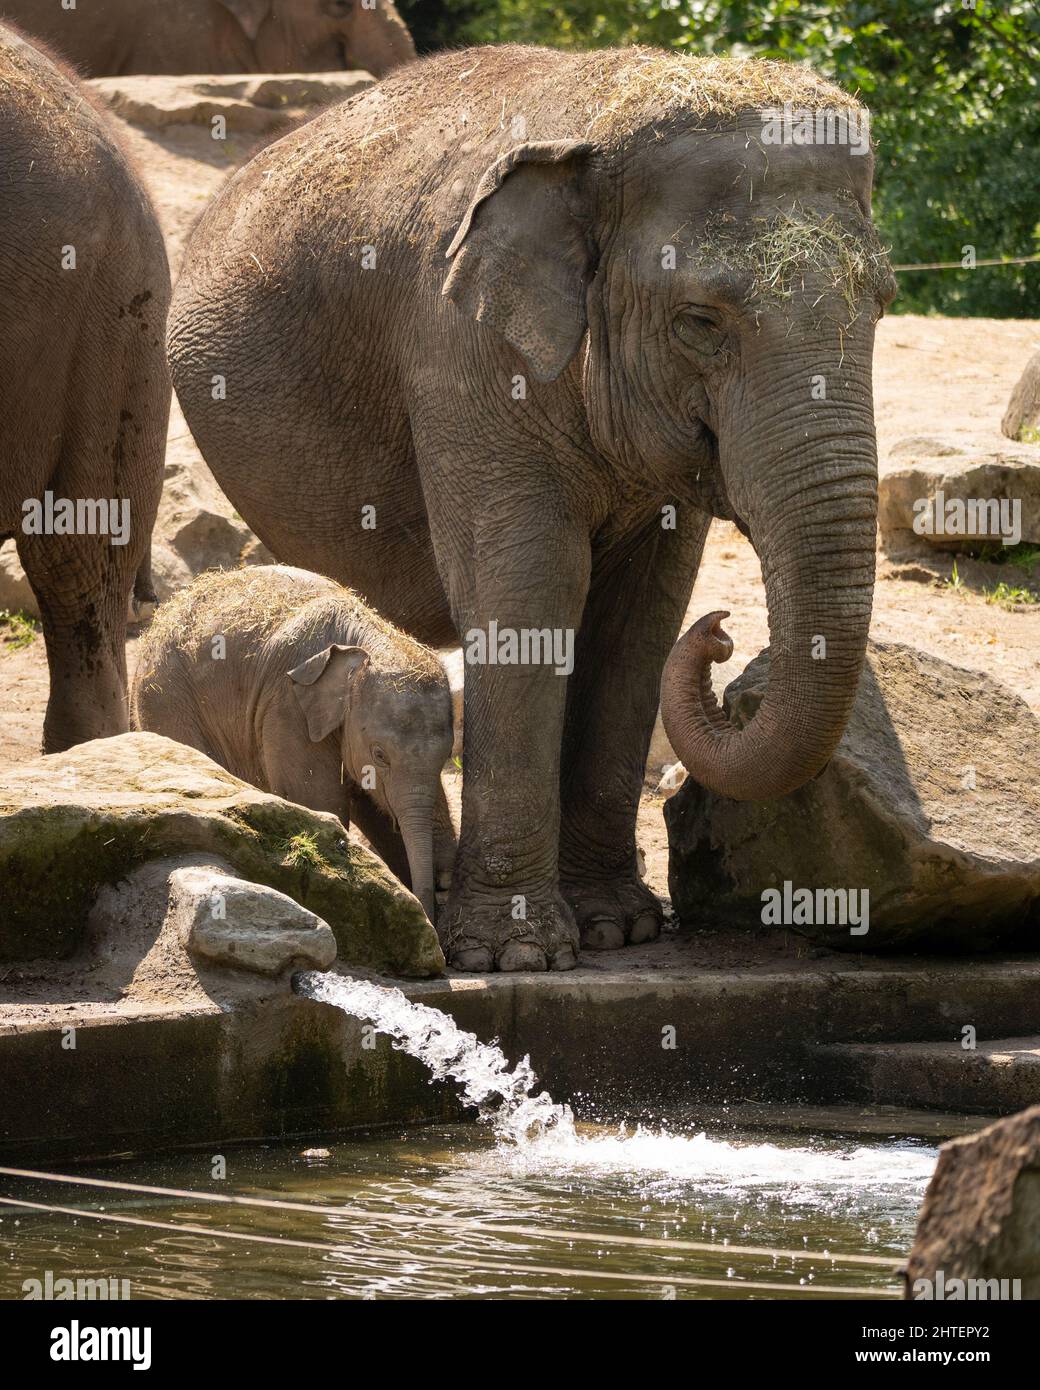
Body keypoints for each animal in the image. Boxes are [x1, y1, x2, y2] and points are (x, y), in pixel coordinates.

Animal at [130, 565, 456, 922]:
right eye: (380, 754)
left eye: (445, 758)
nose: (433, 901)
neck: (366, 641)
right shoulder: (287, 707)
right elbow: (318, 803)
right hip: (165, 699)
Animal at [166, 44, 896, 973]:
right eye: (699, 321)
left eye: (883, 301)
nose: (725, 633)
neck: (602, 119)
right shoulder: (462, 353)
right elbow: (530, 583)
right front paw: (513, 955)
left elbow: (641, 612)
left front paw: (618, 929)